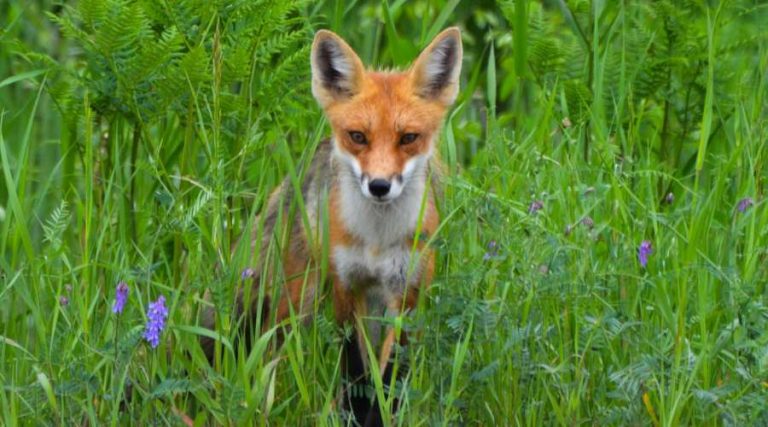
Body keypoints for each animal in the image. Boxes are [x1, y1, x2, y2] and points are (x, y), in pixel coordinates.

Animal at [203, 27, 462, 425]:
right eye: (358, 136)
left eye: (408, 138)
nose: (379, 186)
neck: (376, 240)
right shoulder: (346, 286)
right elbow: (355, 372)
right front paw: (353, 416)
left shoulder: (406, 295)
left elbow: (389, 379)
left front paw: (380, 417)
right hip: (296, 300)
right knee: (268, 353)